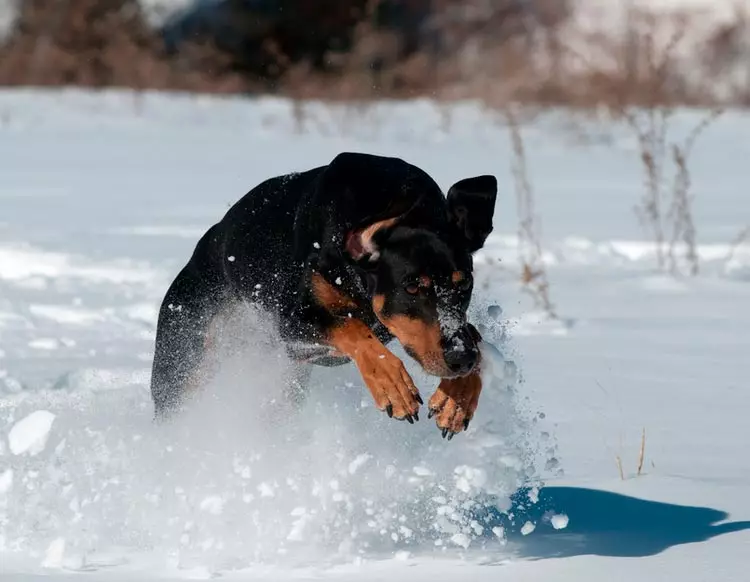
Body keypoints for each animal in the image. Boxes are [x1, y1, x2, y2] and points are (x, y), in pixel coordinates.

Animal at [149, 153, 496, 440]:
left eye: (465, 284)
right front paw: (392, 386)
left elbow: (475, 337)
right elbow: (353, 328)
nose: (460, 358)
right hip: (184, 356)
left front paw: (457, 401)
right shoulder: (292, 322)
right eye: (411, 286)